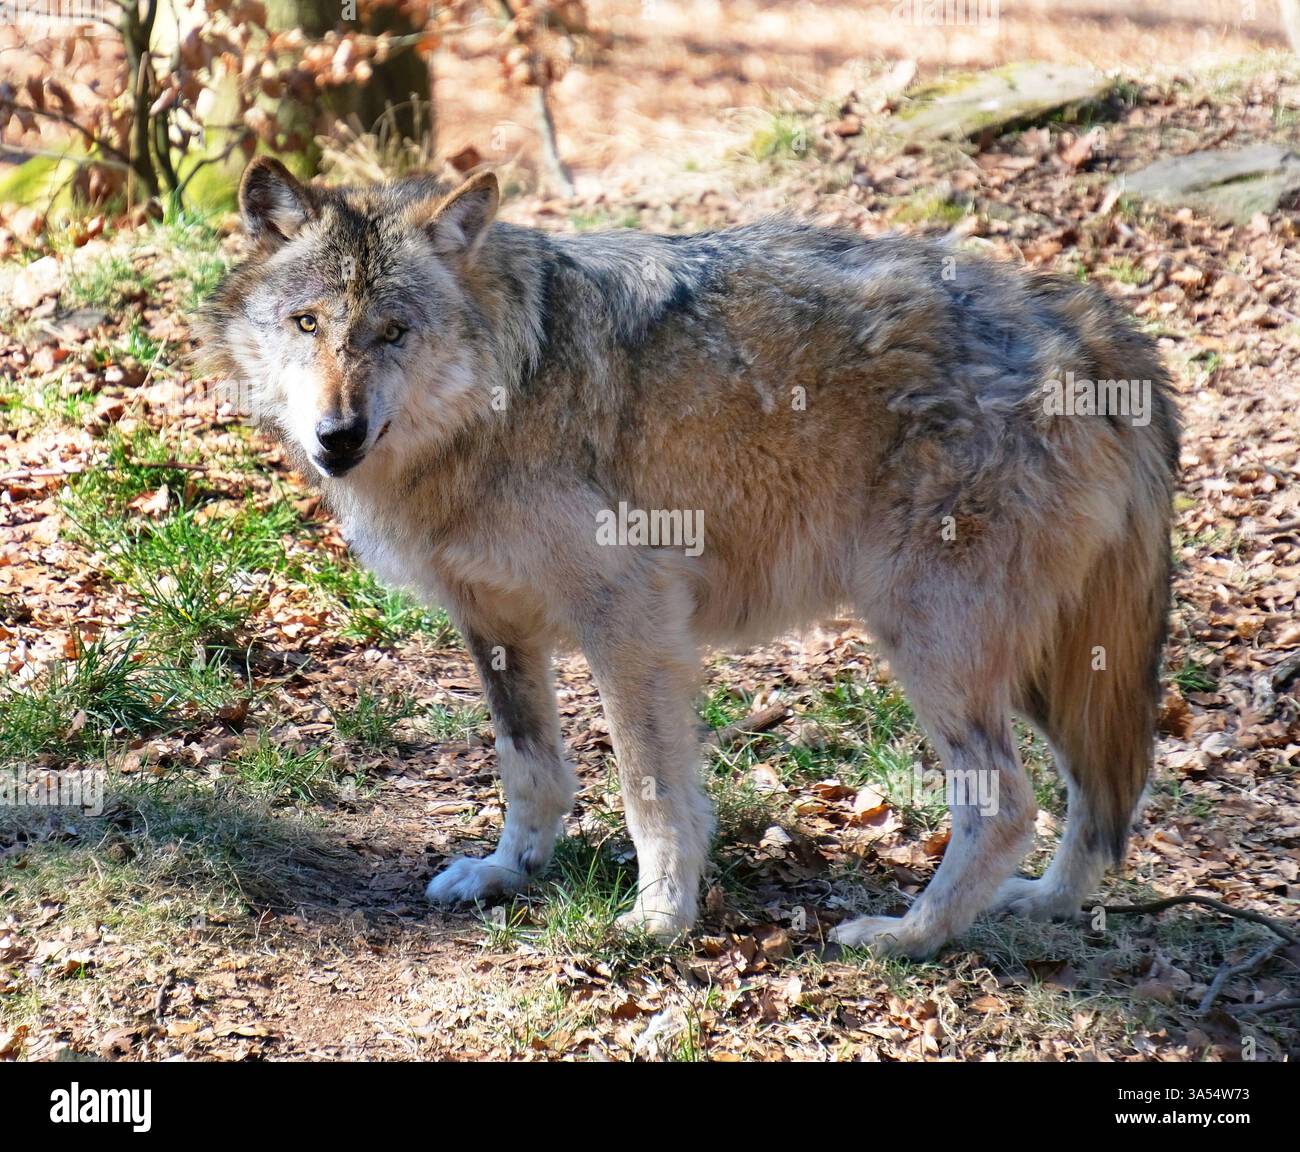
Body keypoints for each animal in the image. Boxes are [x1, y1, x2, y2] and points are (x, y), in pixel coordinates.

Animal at [198, 157, 1179, 958]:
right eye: (307, 323)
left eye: (393, 332)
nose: (337, 435)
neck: (503, 394)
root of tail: (1092, 322)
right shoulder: (495, 622)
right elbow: (532, 768)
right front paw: (509, 873)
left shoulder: (629, 618)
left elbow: (651, 789)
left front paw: (661, 916)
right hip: (1048, 662)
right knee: (1104, 793)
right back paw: (1044, 904)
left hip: (932, 644)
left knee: (1007, 805)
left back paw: (909, 937)